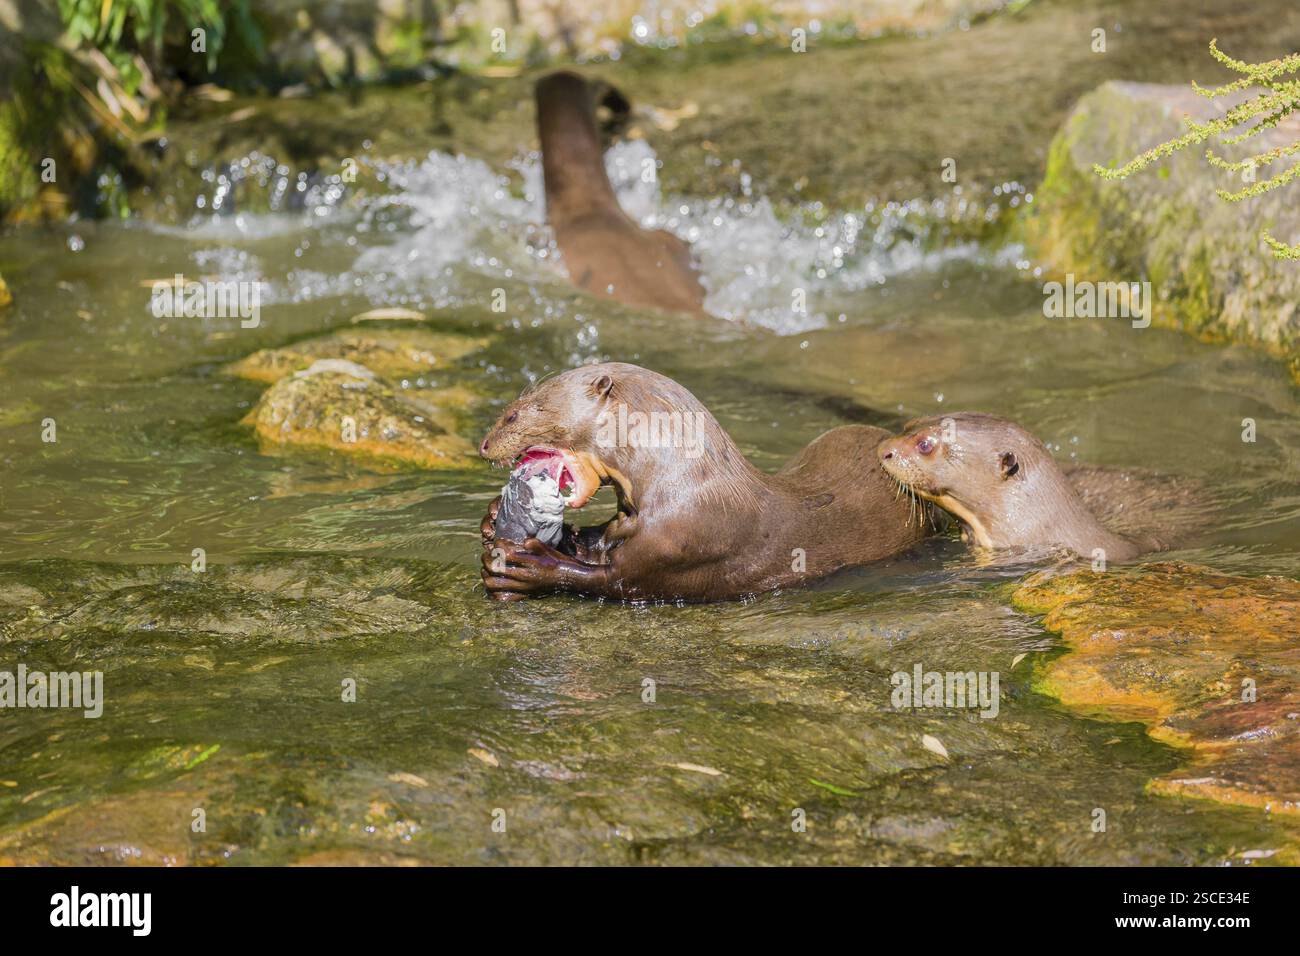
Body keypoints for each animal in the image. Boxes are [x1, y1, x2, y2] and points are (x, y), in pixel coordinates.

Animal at [478, 363, 931, 602]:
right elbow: (597, 542)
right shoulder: (628, 522)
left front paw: (527, 565)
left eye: (513, 415)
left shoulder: (678, 543)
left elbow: (613, 580)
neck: (683, 482)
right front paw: (492, 518)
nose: (483, 444)